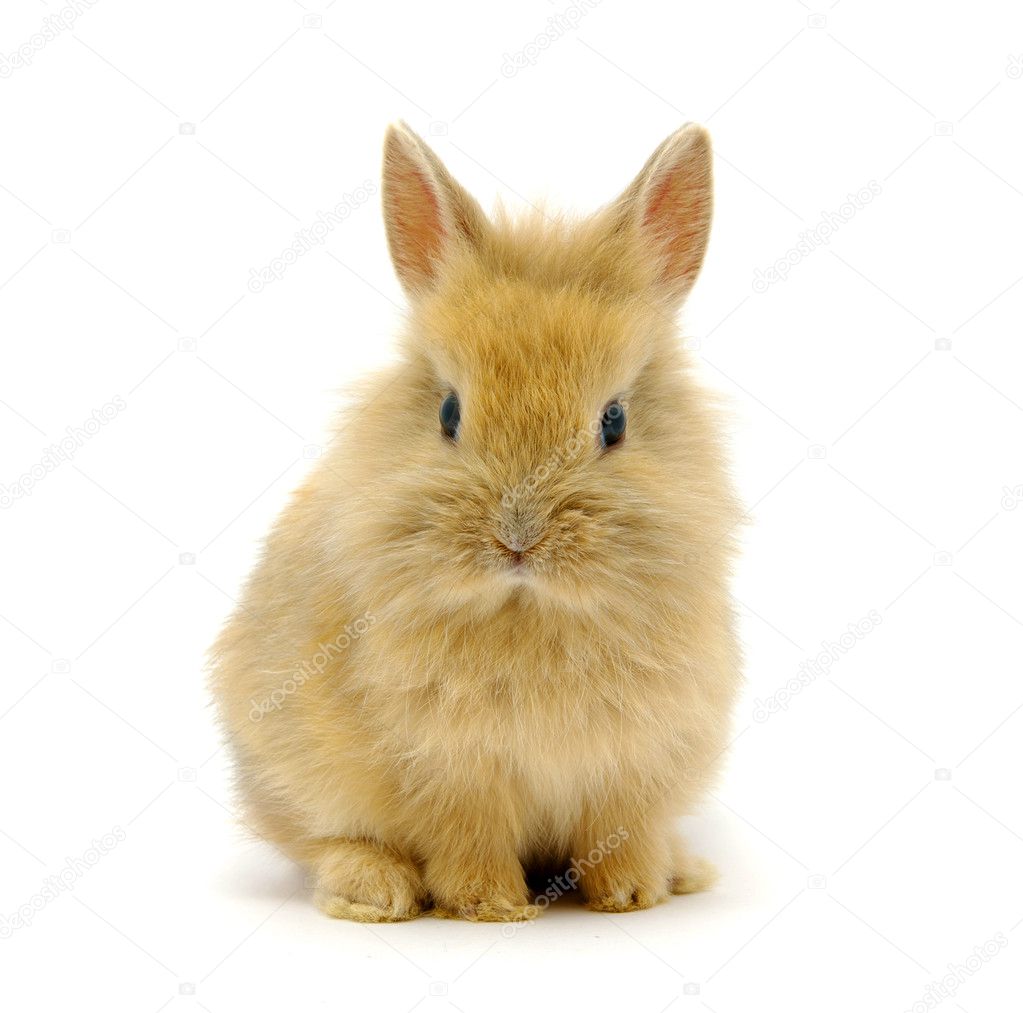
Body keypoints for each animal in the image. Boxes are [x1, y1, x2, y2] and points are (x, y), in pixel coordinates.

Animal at [209, 121, 742, 923]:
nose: (517, 537)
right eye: (449, 413)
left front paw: (633, 895)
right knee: (322, 840)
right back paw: (376, 891)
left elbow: (618, 833)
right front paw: (492, 907)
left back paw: (683, 869)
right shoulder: (451, 768)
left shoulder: (631, 768)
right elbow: (469, 839)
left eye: (614, 420)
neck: (529, 609)